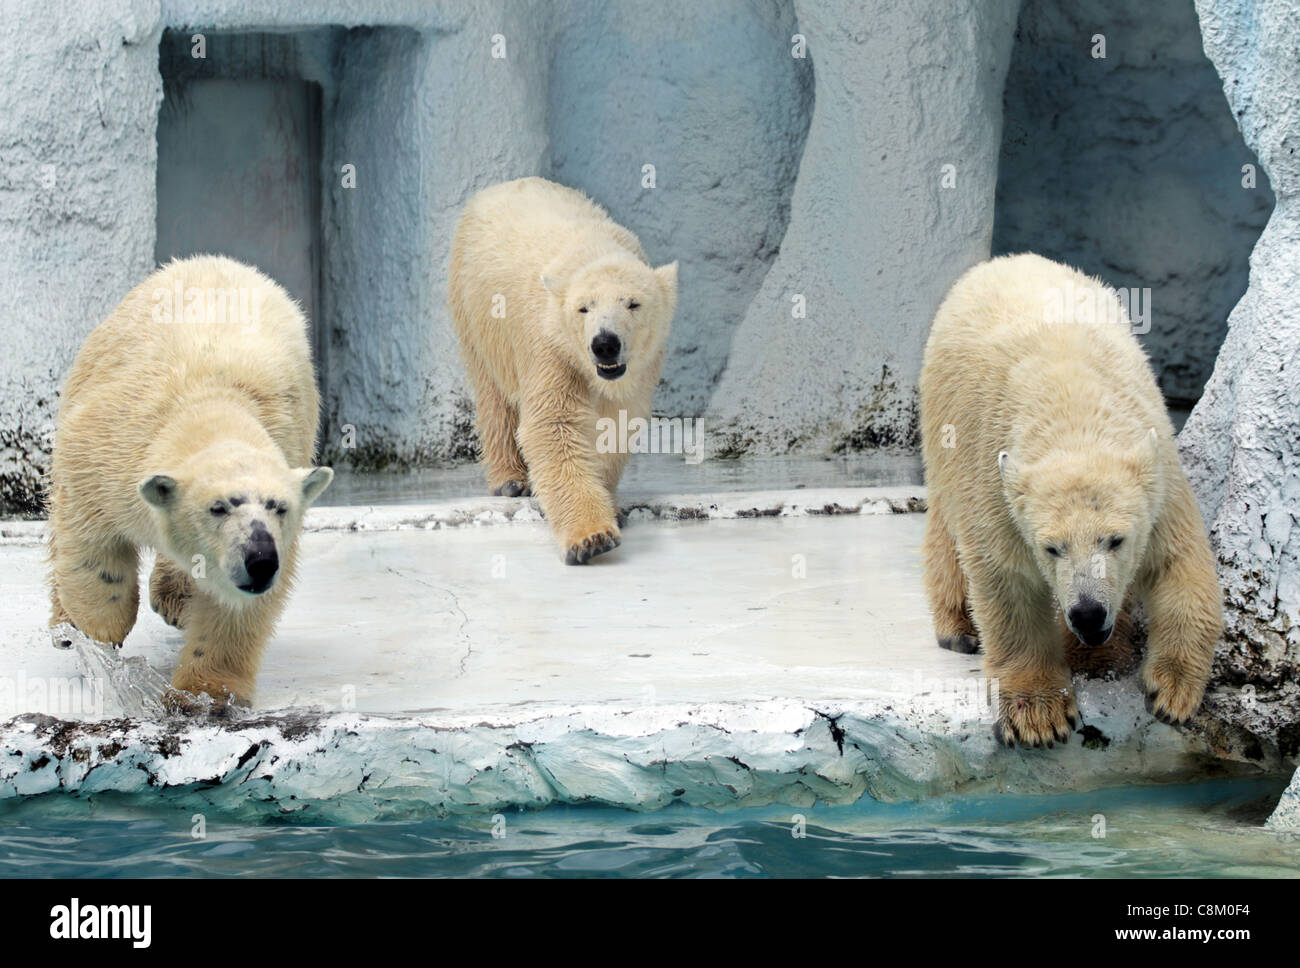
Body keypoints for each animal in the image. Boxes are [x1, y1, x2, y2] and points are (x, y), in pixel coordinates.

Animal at [47, 255, 334, 710]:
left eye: (279, 507)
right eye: (218, 507)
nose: (259, 560)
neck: (208, 401)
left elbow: (235, 609)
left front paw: (204, 695)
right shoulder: (108, 451)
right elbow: (92, 540)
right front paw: (99, 633)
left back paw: (173, 597)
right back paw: (63, 625)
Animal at [448, 177, 678, 564]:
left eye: (633, 303)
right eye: (584, 308)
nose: (605, 343)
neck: (592, 251)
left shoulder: (640, 368)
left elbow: (614, 423)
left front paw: (610, 506)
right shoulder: (552, 345)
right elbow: (553, 424)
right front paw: (592, 538)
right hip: (475, 309)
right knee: (493, 392)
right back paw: (510, 479)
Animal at [919, 253, 1222, 749]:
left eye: (1115, 540)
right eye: (1051, 548)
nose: (1088, 613)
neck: (1072, 414)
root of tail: (1004, 260)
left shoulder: (1157, 481)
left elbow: (1177, 563)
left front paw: (1171, 690)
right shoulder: (997, 487)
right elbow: (1008, 586)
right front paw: (1039, 714)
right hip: (944, 423)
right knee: (946, 519)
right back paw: (958, 628)